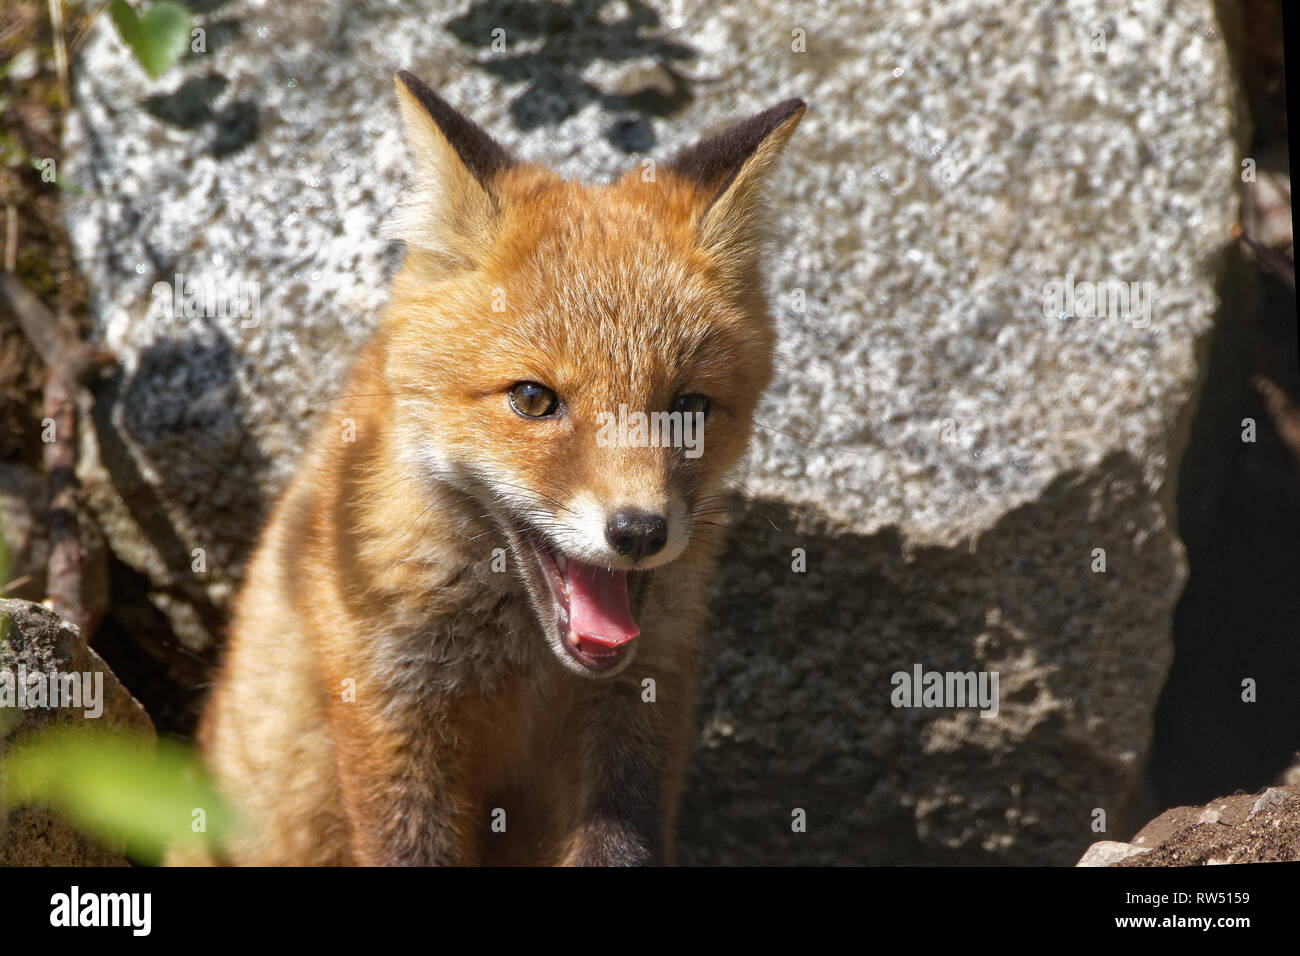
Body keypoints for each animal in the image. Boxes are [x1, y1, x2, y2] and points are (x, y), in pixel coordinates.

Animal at [179, 71, 804, 866]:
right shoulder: (389, 706)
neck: (523, 663)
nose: (639, 532)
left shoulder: (642, 699)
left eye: (688, 407)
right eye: (534, 399)